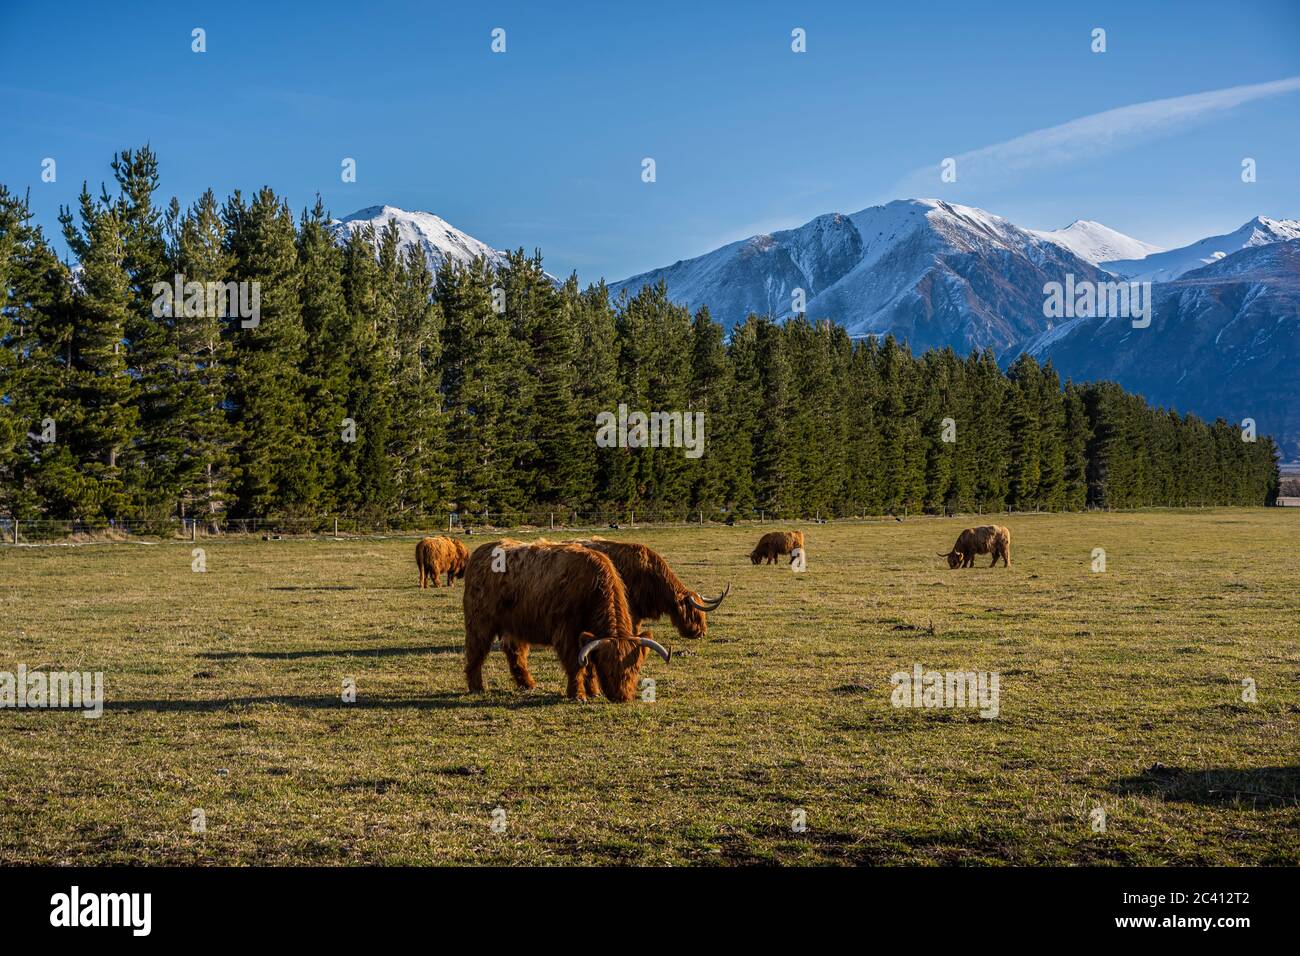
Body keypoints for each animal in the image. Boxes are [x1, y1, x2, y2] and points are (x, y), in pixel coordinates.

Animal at [462, 540, 670, 702]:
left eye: (635, 668)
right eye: (608, 668)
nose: (622, 697)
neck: (593, 588)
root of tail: (481, 550)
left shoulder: (587, 636)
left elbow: (589, 665)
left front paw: (594, 692)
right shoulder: (566, 633)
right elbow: (576, 664)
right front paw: (578, 695)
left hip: (515, 626)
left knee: (515, 653)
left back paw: (528, 684)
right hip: (479, 623)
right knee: (475, 652)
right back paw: (476, 687)